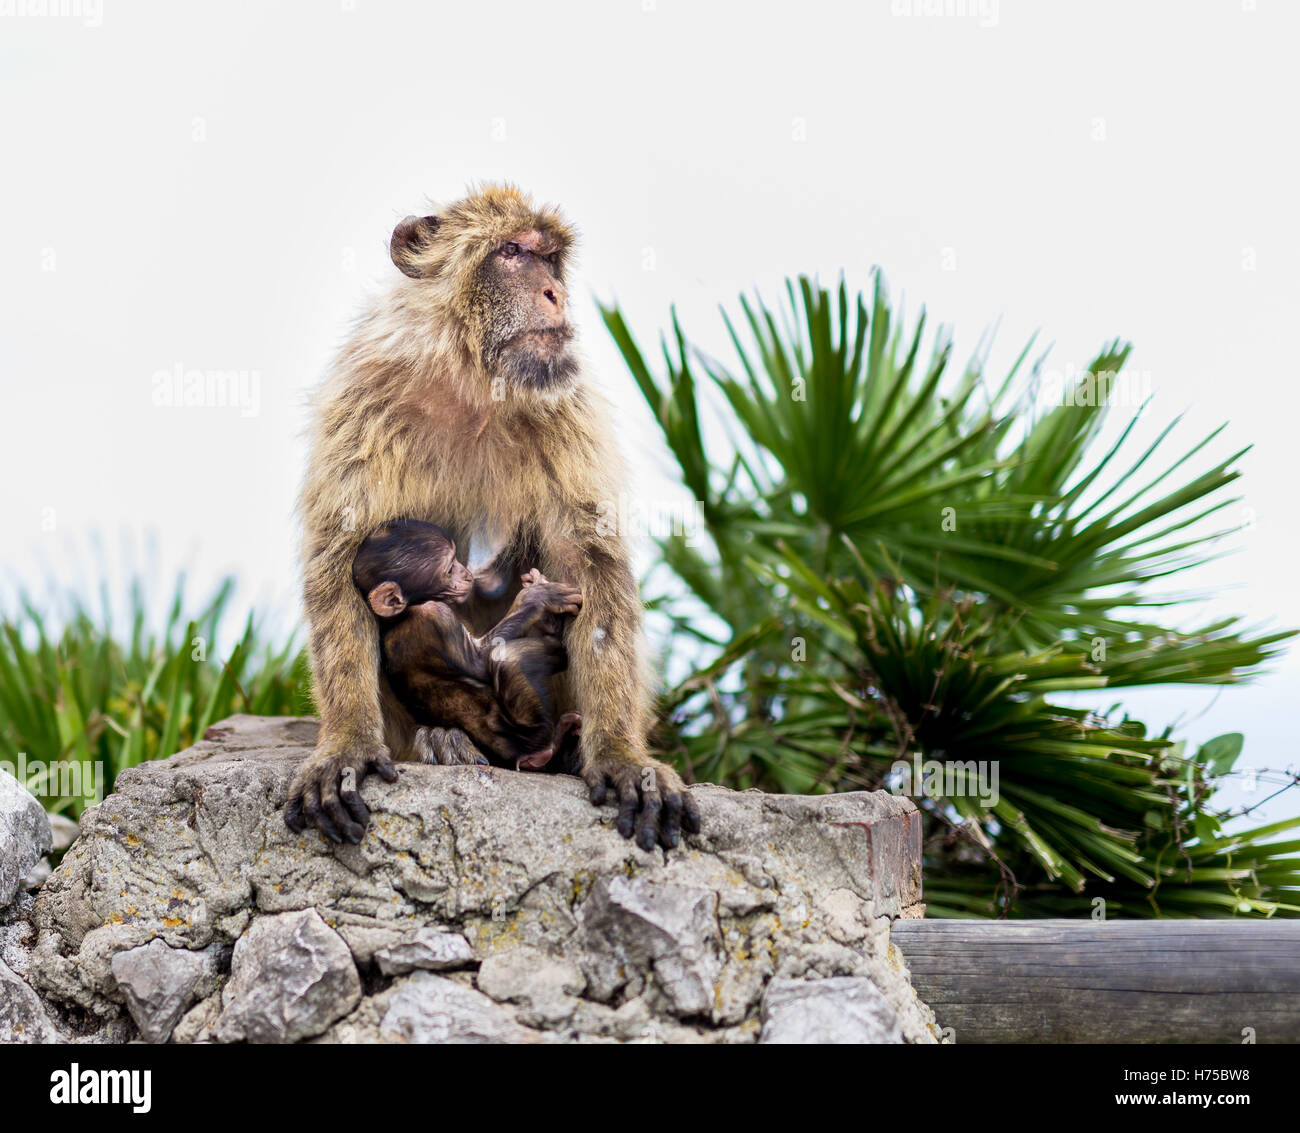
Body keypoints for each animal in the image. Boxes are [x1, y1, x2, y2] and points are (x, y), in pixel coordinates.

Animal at [350, 518, 584, 772]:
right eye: (450, 568)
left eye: (456, 561)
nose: (465, 572)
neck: (404, 613)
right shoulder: (435, 616)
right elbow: (481, 661)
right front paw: (536, 596)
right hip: (527, 733)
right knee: (507, 657)